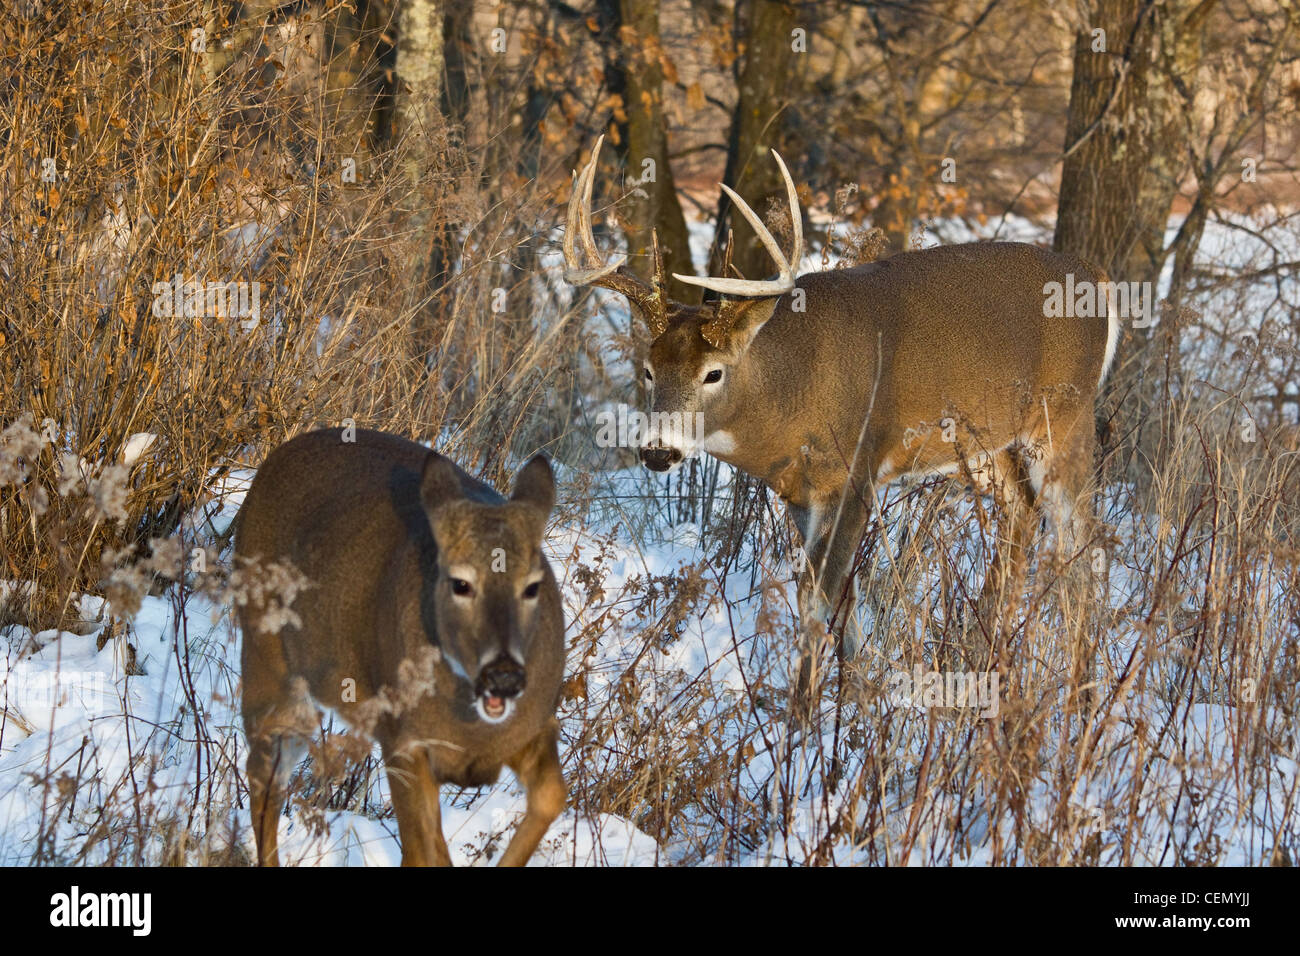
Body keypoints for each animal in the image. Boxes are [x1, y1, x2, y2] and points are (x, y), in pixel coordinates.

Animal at [237, 427, 566, 866]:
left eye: (532, 586)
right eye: (460, 582)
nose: (504, 677)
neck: (472, 734)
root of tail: (275, 458)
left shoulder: (533, 726)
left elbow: (552, 796)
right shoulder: (401, 740)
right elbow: (420, 851)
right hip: (266, 659)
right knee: (263, 777)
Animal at [564, 136, 1119, 680]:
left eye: (713, 372)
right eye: (649, 370)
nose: (658, 451)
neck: (795, 393)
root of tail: (1099, 277)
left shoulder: (859, 470)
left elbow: (818, 596)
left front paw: (806, 700)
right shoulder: (798, 490)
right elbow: (834, 593)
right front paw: (851, 685)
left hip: (1064, 419)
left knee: (1083, 542)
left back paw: (1079, 677)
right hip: (981, 446)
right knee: (1023, 513)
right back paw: (980, 654)